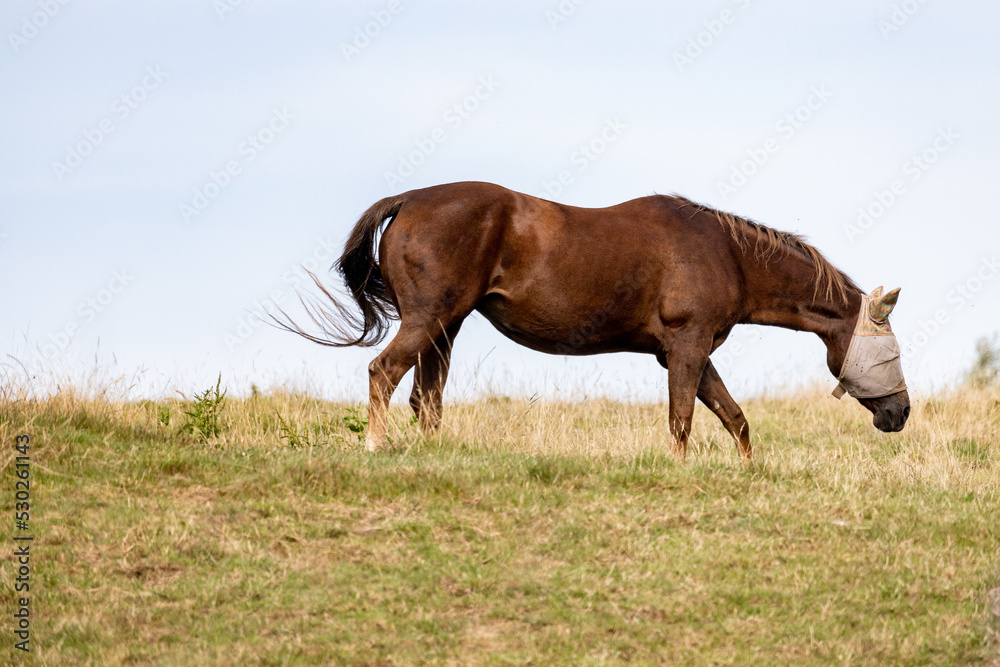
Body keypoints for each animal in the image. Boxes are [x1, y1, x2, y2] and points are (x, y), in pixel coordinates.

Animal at [277, 181, 910, 459]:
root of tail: (408, 199)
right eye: (893, 352)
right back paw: (376, 448)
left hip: (444, 329)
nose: (900, 413)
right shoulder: (686, 348)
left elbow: (735, 419)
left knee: (425, 398)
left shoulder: (686, 352)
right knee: (383, 373)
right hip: (428, 321)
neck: (726, 252)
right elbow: (683, 422)